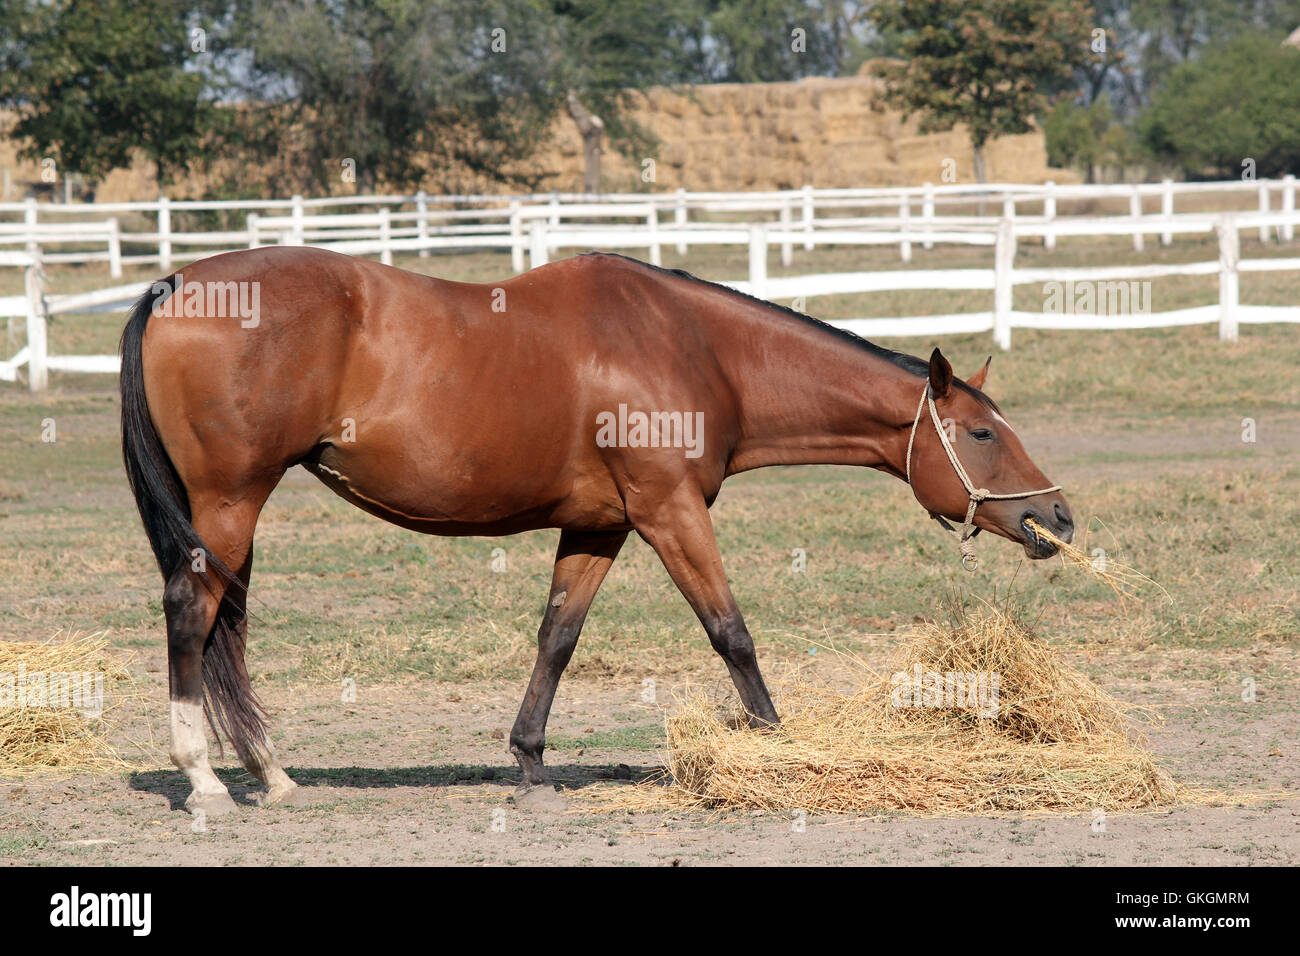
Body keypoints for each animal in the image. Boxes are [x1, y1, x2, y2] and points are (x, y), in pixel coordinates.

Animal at [119, 245, 1073, 814]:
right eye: (981, 434)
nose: (1054, 515)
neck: (695, 348)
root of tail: (179, 285)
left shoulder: (599, 528)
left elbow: (557, 639)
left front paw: (531, 759)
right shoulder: (669, 512)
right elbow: (731, 631)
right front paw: (777, 746)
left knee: (226, 629)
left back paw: (270, 772)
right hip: (231, 502)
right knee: (191, 616)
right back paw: (205, 781)